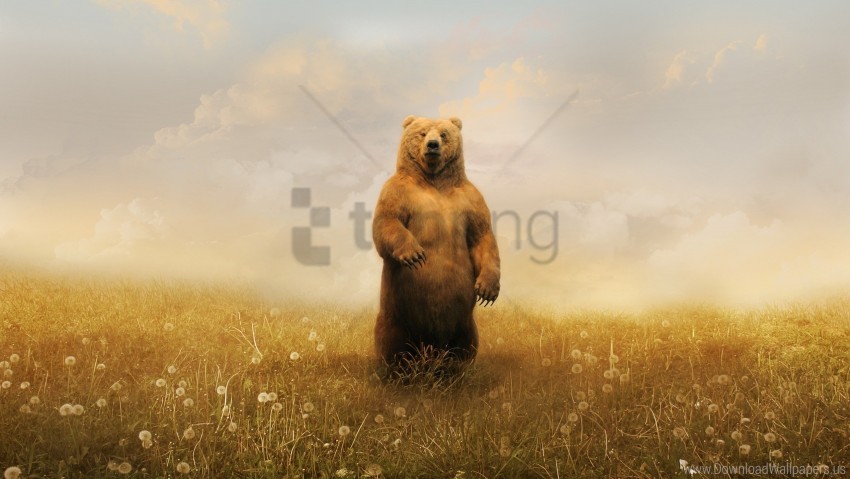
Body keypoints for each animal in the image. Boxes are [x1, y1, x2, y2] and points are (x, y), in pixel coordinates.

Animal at [372, 115, 501, 374]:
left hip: (464, 322)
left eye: (443, 134)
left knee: (465, 345)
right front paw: (414, 254)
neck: (434, 179)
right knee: (391, 343)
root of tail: (430, 350)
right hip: (396, 316)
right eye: (422, 133)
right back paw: (395, 372)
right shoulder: (397, 191)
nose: (432, 145)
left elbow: (482, 236)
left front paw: (487, 289)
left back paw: (455, 370)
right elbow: (387, 222)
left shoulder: (470, 199)